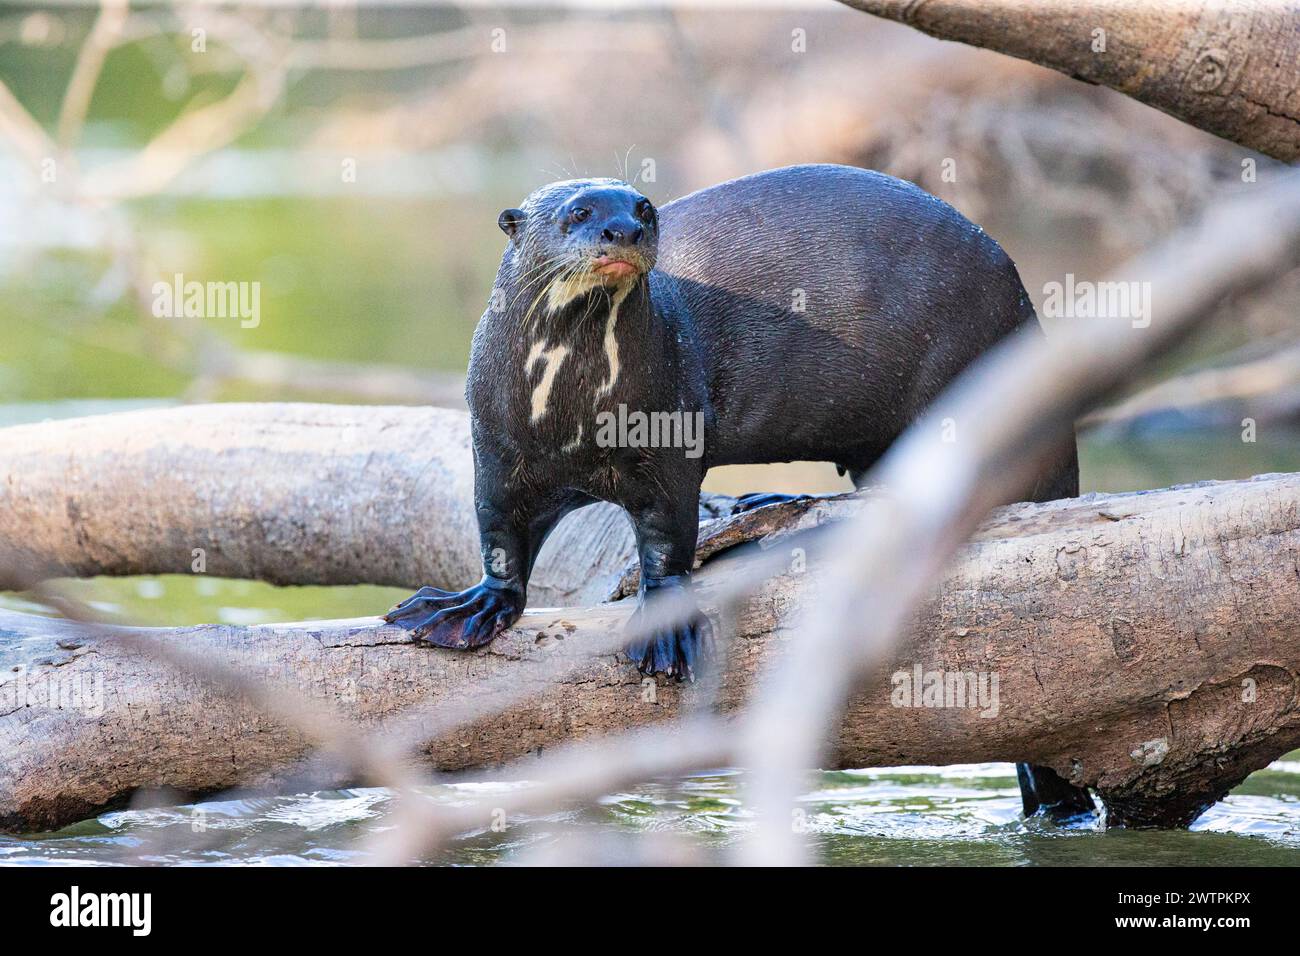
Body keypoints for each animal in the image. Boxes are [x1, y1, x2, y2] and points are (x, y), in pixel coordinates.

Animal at [385, 163, 1093, 820]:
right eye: (580, 210)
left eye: (644, 207)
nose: (625, 230)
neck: (573, 412)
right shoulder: (495, 445)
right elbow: (499, 536)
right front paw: (466, 607)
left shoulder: (670, 441)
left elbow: (667, 539)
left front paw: (666, 629)